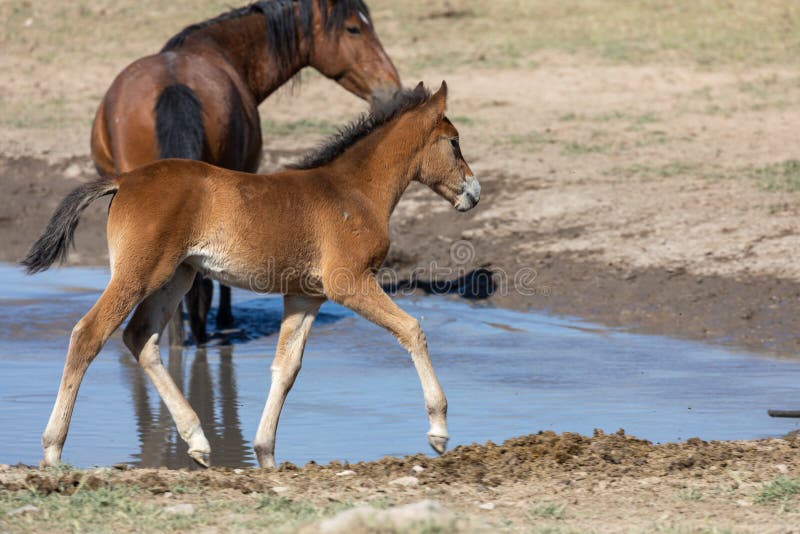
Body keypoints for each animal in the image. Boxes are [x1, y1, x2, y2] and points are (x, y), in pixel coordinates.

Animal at [24, 82, 481, 468]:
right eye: (454, 141)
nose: (474, 193)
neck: (353, 191)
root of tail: (123, 179)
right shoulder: (349, 282)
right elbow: (411, 329)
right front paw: (439, 429)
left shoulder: (306, 295)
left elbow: (286, 368)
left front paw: (264, 451)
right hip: (138, 274)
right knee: (89, 334)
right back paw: (52, 449)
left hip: (177, 277)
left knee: (140, 338)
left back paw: (198, 441)